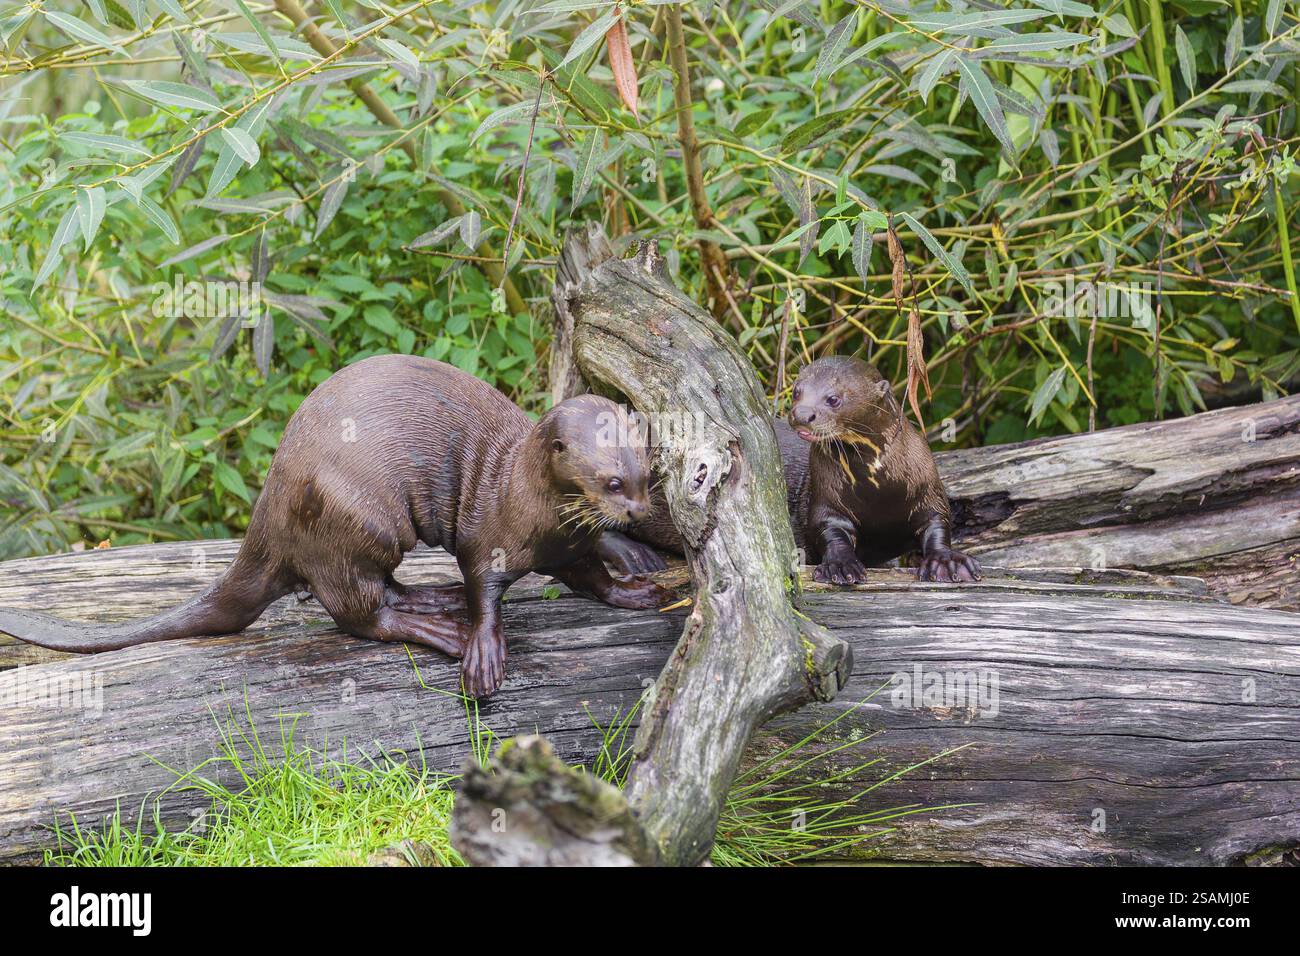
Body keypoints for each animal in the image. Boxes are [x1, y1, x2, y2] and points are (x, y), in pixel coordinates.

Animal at [0, 355, 671, 697]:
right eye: (612, 481)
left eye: (647, 475)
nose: (637, 513)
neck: (529, 500)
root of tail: (271, 511)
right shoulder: (491, 538)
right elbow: (484, 587)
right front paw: (482, 651)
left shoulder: (570, 544)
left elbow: (592, 577)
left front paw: (634, 590)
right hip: (357, 517)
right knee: (357, 613)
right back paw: (440, 627)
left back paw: (432, 599)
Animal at [601, 356, 980, 585]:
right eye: (798, 391)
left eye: (833, 398)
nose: (802, 415)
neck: (878, 487)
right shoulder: (824, 496)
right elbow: (829, 529)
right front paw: (841, 565)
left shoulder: (926, 487)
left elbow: (936, 523)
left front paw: (946, 561)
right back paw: (636, 556)